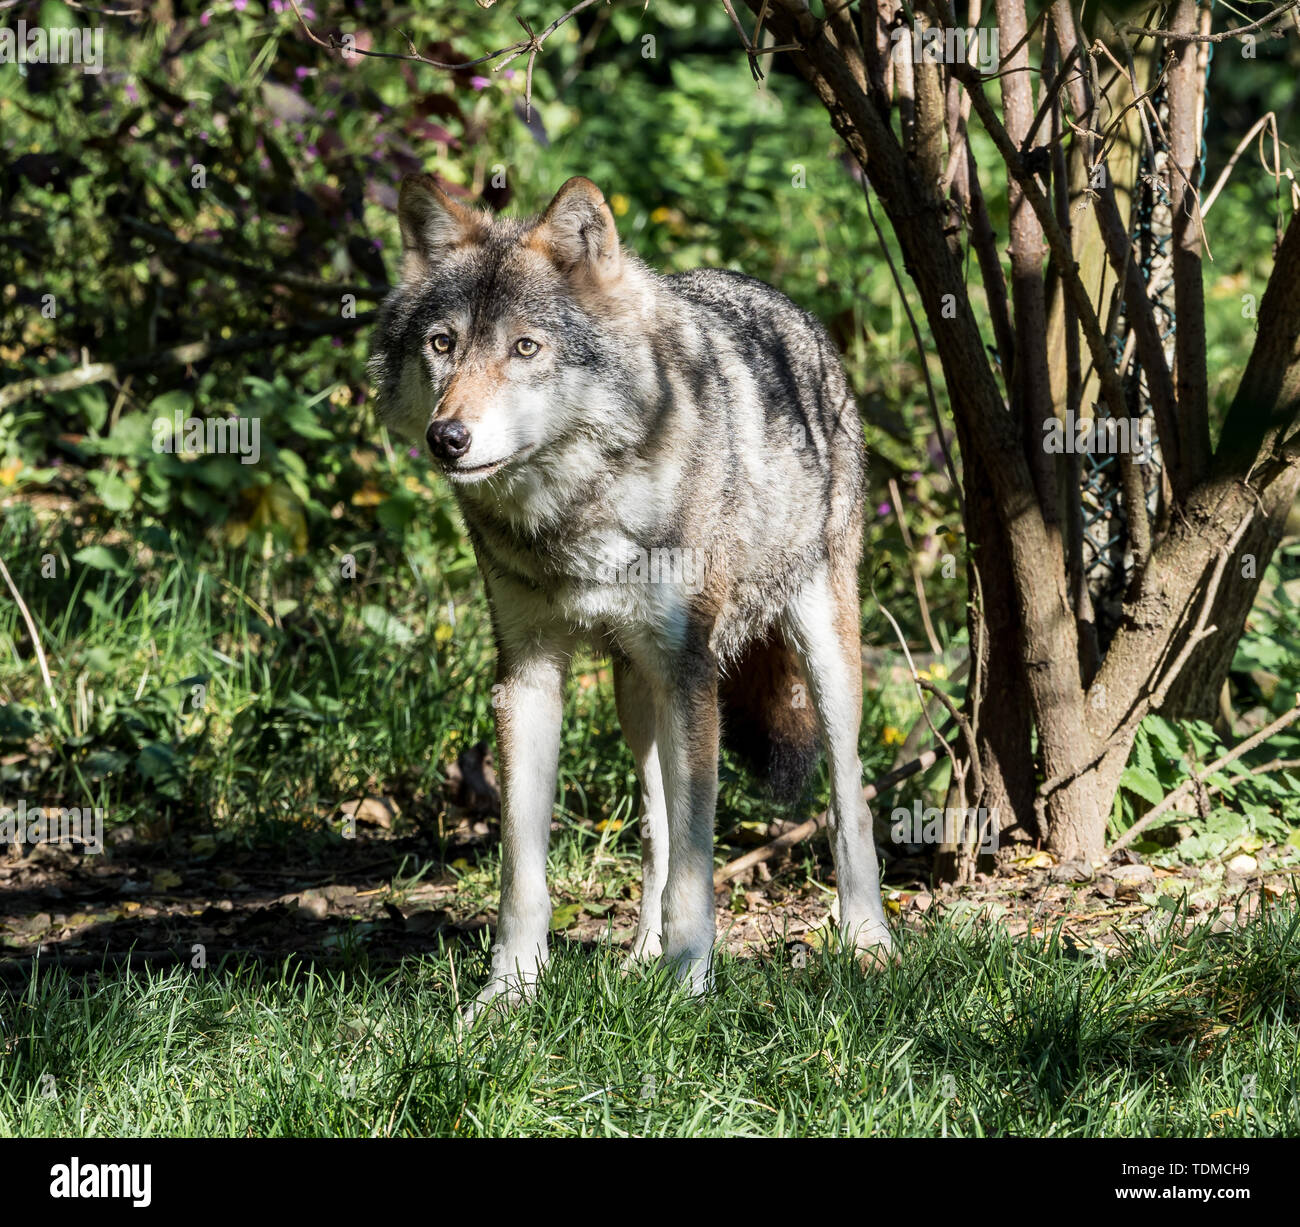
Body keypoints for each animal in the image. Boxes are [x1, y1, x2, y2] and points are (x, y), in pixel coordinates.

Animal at [368, 174, 894, 1015]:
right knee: (655, 827)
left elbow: (698, 864)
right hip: (634, 695)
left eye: (525, 348)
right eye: (443, 344)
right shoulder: (527, 677)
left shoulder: (692, 675)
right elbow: (525, 873)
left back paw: (868, 941)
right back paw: (640, 956)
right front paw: (508, 991)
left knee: (850, 798)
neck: (580, 506)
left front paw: (690, 981)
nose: (447, 439)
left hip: (820, 653)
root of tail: (777, 299)